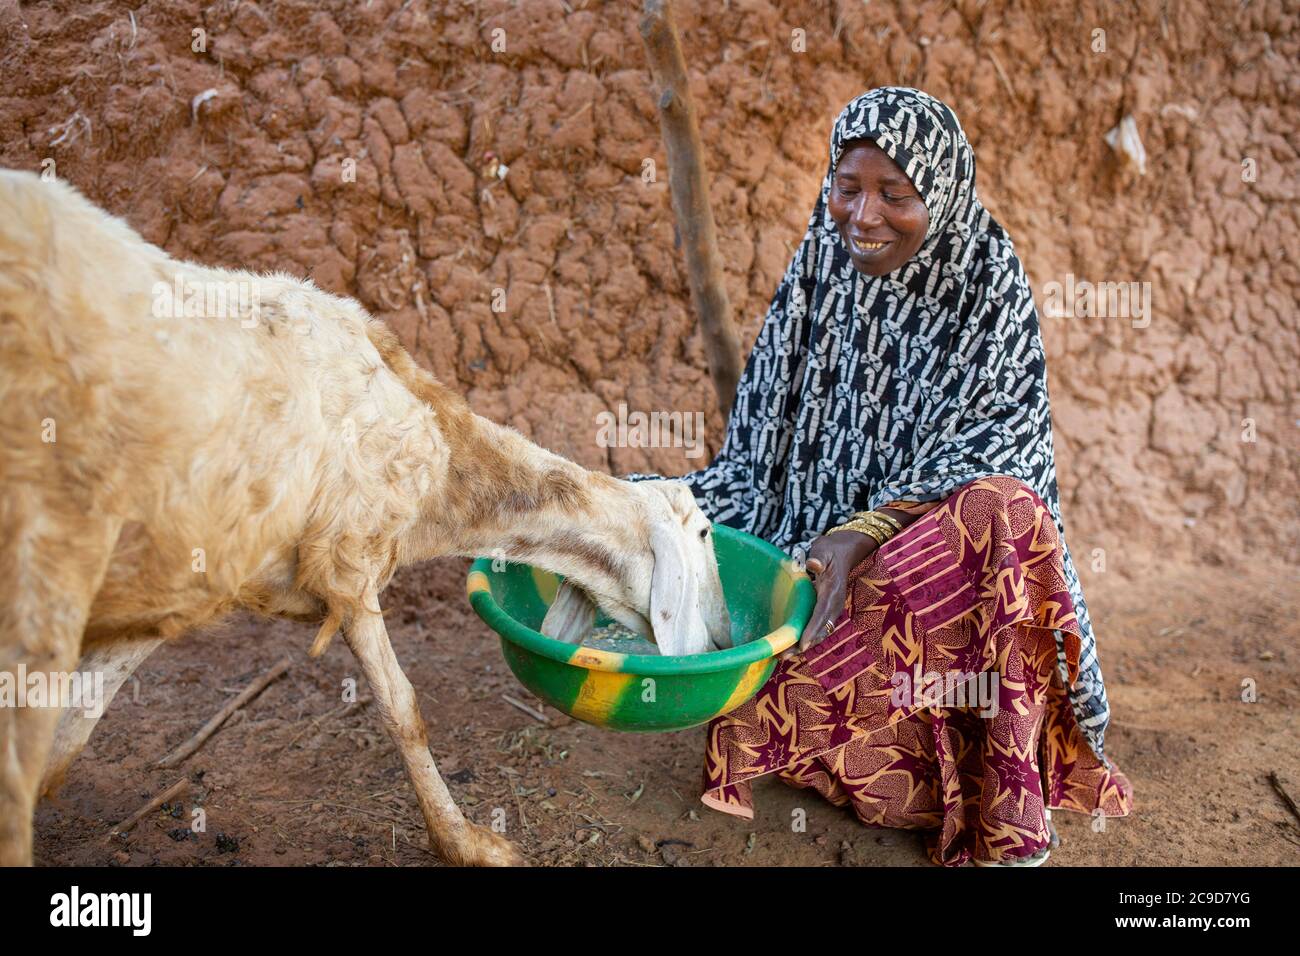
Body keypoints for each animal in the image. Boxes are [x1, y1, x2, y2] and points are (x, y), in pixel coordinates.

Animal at [0, 169, 731, 867]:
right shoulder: (349, 560)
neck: (441, 461)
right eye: (703, 533)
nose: (725, 639)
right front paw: (466, 843)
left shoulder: (176, 590)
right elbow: (405, 710)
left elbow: (68, 741)